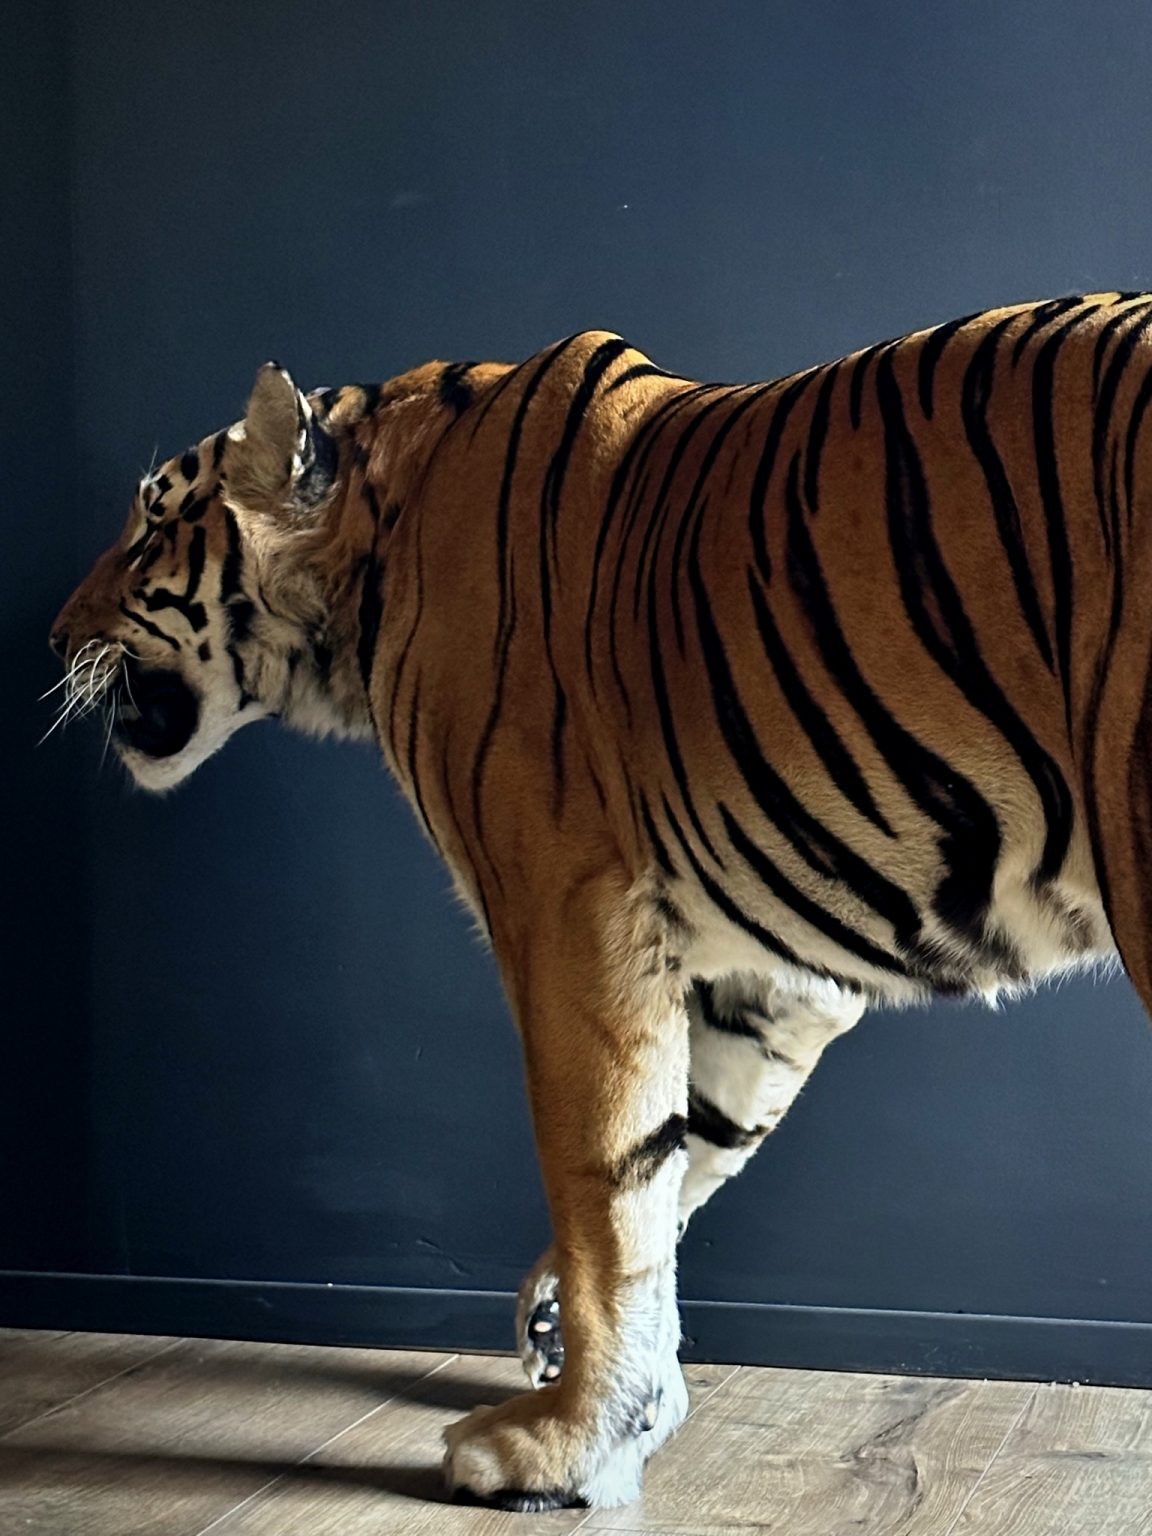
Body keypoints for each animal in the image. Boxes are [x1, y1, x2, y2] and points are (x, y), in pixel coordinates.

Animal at [49, 292, 1152, 1510]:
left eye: (151, 529)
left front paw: (563, 1444)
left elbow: (603, 1193)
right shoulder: (775, 966)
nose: (53, 637)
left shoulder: (569, 910)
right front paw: (620, 1390)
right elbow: (685, 1155)